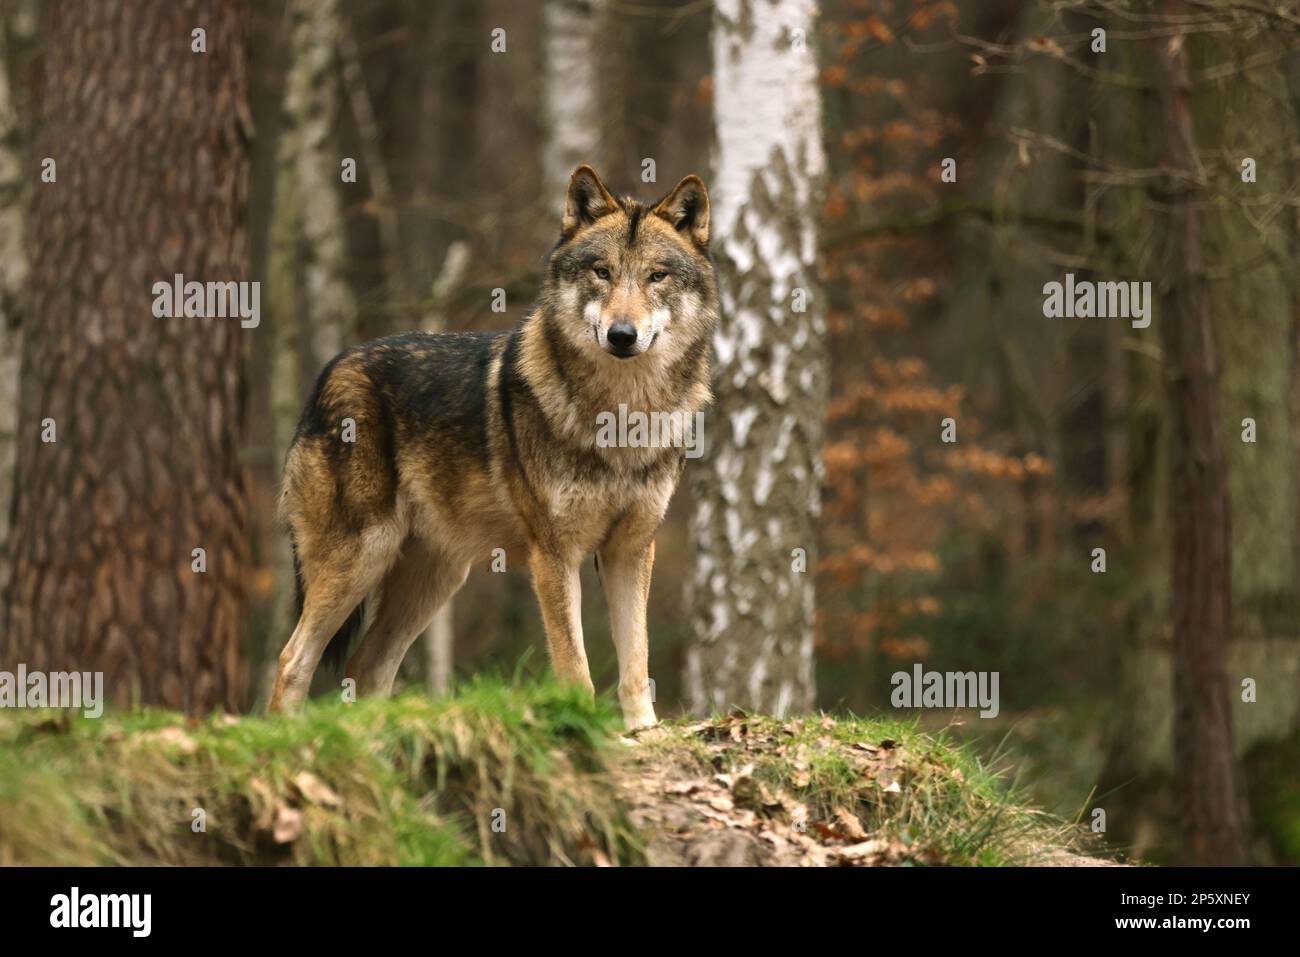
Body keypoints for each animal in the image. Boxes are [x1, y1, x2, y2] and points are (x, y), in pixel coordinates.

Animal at [267, 166, 716, 729]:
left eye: (657, 276)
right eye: (602, 272)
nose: (621, 334)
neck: (621, 418)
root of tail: (330, 371)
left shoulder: (631, 549)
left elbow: (636, 661)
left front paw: (643, 731)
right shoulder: (554, 553)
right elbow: (575, 667)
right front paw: (582, 727)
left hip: (435, 578)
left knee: (365, 666)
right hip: (359, 558)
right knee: (292, 661)